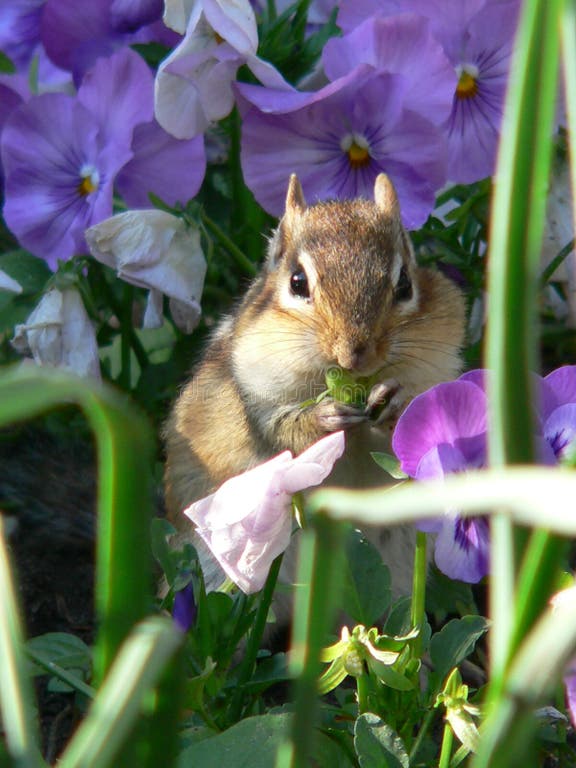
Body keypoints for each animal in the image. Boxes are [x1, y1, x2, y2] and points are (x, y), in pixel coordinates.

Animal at [163, 173, 466, 596]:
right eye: (297, 282)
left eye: (405, 283)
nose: (354, 355)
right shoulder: (252, 396)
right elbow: (277, 430)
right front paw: (324, 417)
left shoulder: (439, 370)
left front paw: (395, 401)